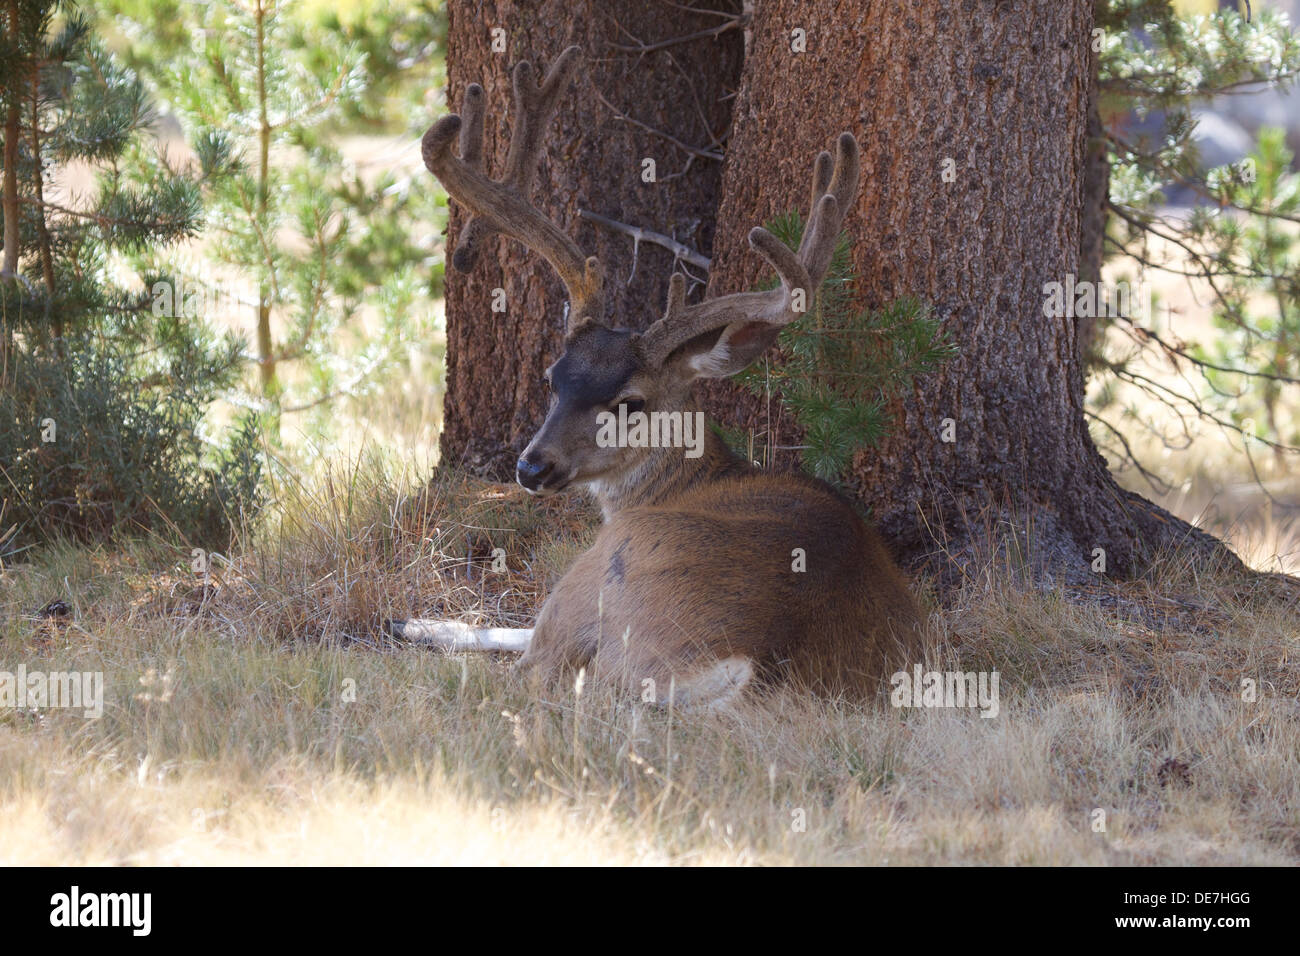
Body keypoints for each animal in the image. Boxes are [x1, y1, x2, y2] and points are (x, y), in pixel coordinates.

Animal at [390, 46, 926, 708]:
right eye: (553, 378)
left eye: (630, 402)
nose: (531, 467)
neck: (692, 480)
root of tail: (751, 665)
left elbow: (520, 638)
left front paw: (416, 622)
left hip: (607, 569)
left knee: (537, 667)